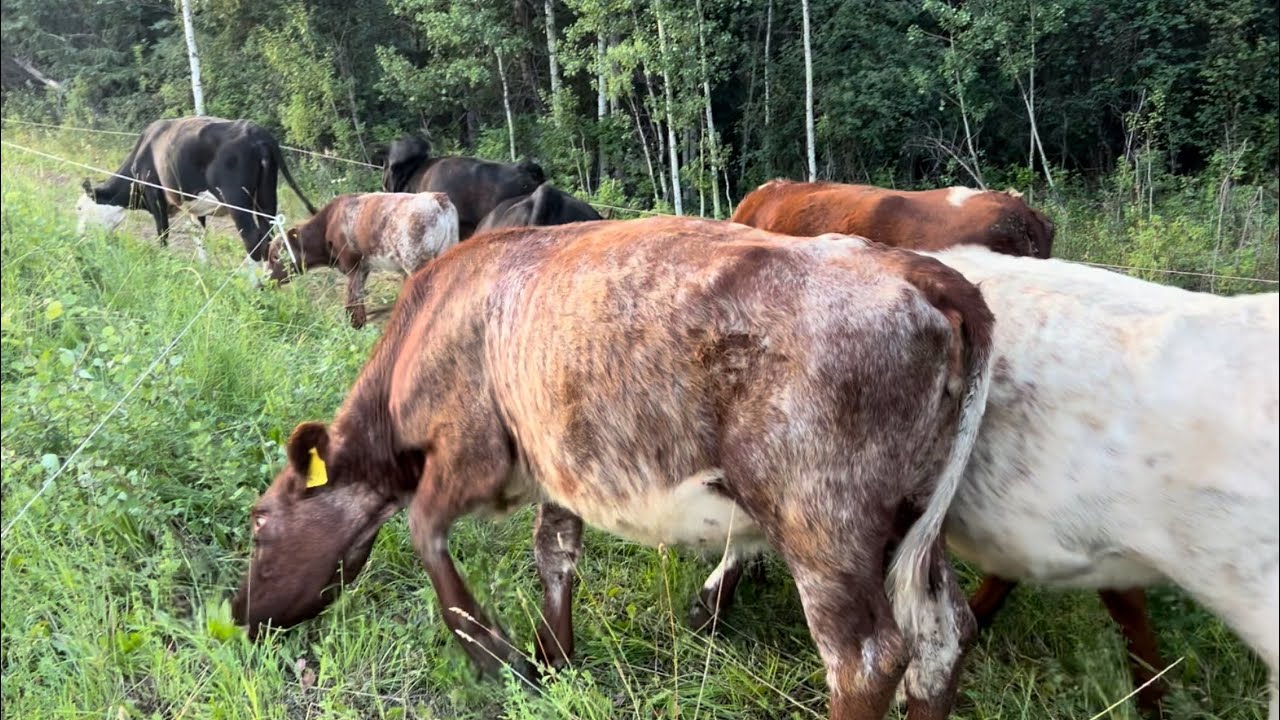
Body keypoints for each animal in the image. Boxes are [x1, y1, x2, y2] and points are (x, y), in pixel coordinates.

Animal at [80, 117, 317, 268]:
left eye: (79, 208)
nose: (79, 238)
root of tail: (258, 133)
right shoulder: (194, 208)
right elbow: (199, 237)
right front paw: (204, 269)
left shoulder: (154, 195)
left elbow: (163, 233)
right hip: (266, 198)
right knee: (269, 238)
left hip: (237, 201)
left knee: (253, 241)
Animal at [231, 216, 996, 720]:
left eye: (259, 524)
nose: (238, 614)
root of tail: (927, 273)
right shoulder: (554, 461)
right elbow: (555, 554)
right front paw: (554, 661)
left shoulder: (470, 450)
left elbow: (427, 537)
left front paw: (499, 658)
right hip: (910, 513)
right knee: (942, 636)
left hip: (820, 516)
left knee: (865, 659)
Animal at [266, 192, 458, 329]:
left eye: (275, 256)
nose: (265, 283)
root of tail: (438, 198)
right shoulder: (364, 267)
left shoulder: (352, 264)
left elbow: (354, 296)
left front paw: (355, 325)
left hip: (417, 263)